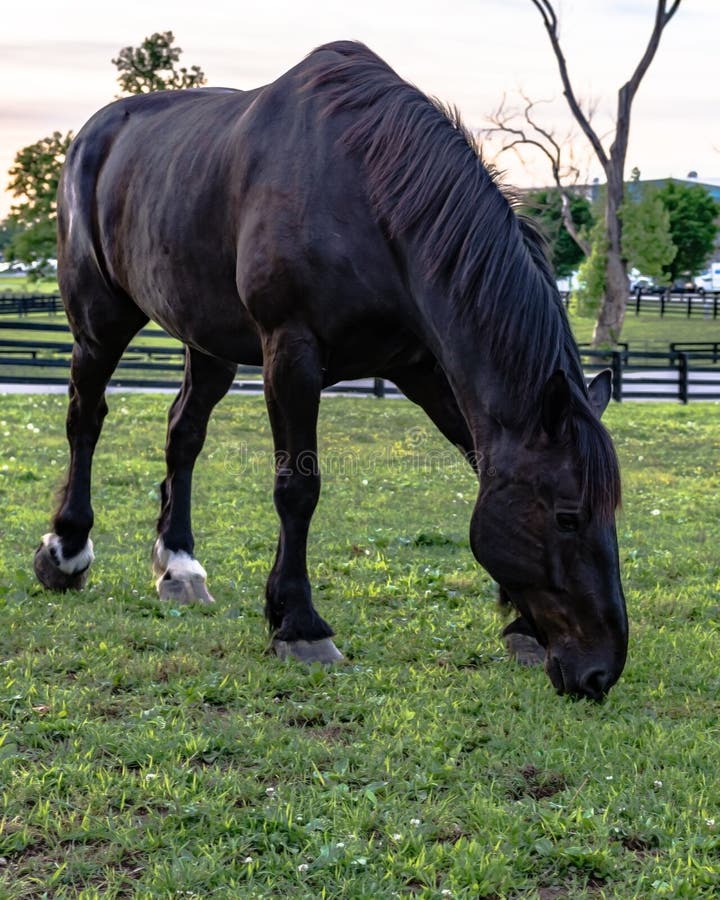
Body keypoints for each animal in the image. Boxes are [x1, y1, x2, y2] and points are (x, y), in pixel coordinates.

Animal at [34, 40, 627, 700]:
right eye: (568, 517)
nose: (600, 670)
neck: (369, 199)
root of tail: (91, 136)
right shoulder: (291, 353)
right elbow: (299, 487)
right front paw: (298, 624)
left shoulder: (422, 368)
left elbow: (483, 466)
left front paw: (522, 626)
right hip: (100, 322)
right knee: (86, 419)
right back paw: (66, 549)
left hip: (207, 340)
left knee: (182, 434)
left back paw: (180, 565)